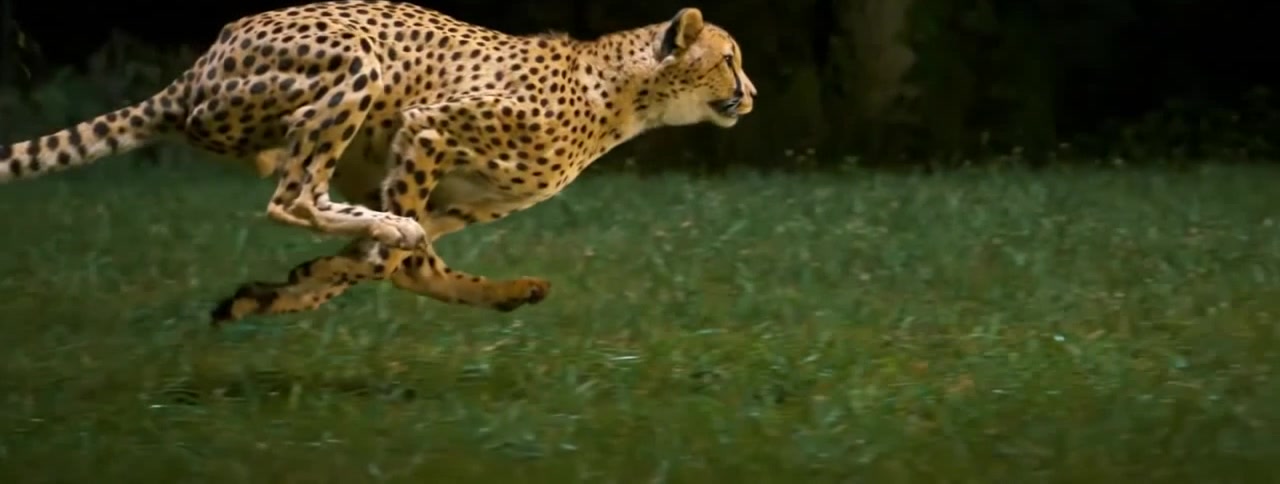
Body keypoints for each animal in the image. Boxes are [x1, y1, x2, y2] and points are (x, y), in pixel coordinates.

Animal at [0, 0, 757, 325]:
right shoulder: (428, 127)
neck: (623, 93)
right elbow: (394, 258)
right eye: (728, 59)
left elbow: (388, 264)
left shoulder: (455, 202)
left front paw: (278, 291)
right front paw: (301, 283)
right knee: (294, 195)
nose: (749, 94)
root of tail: (197, 69)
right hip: (354, 64)